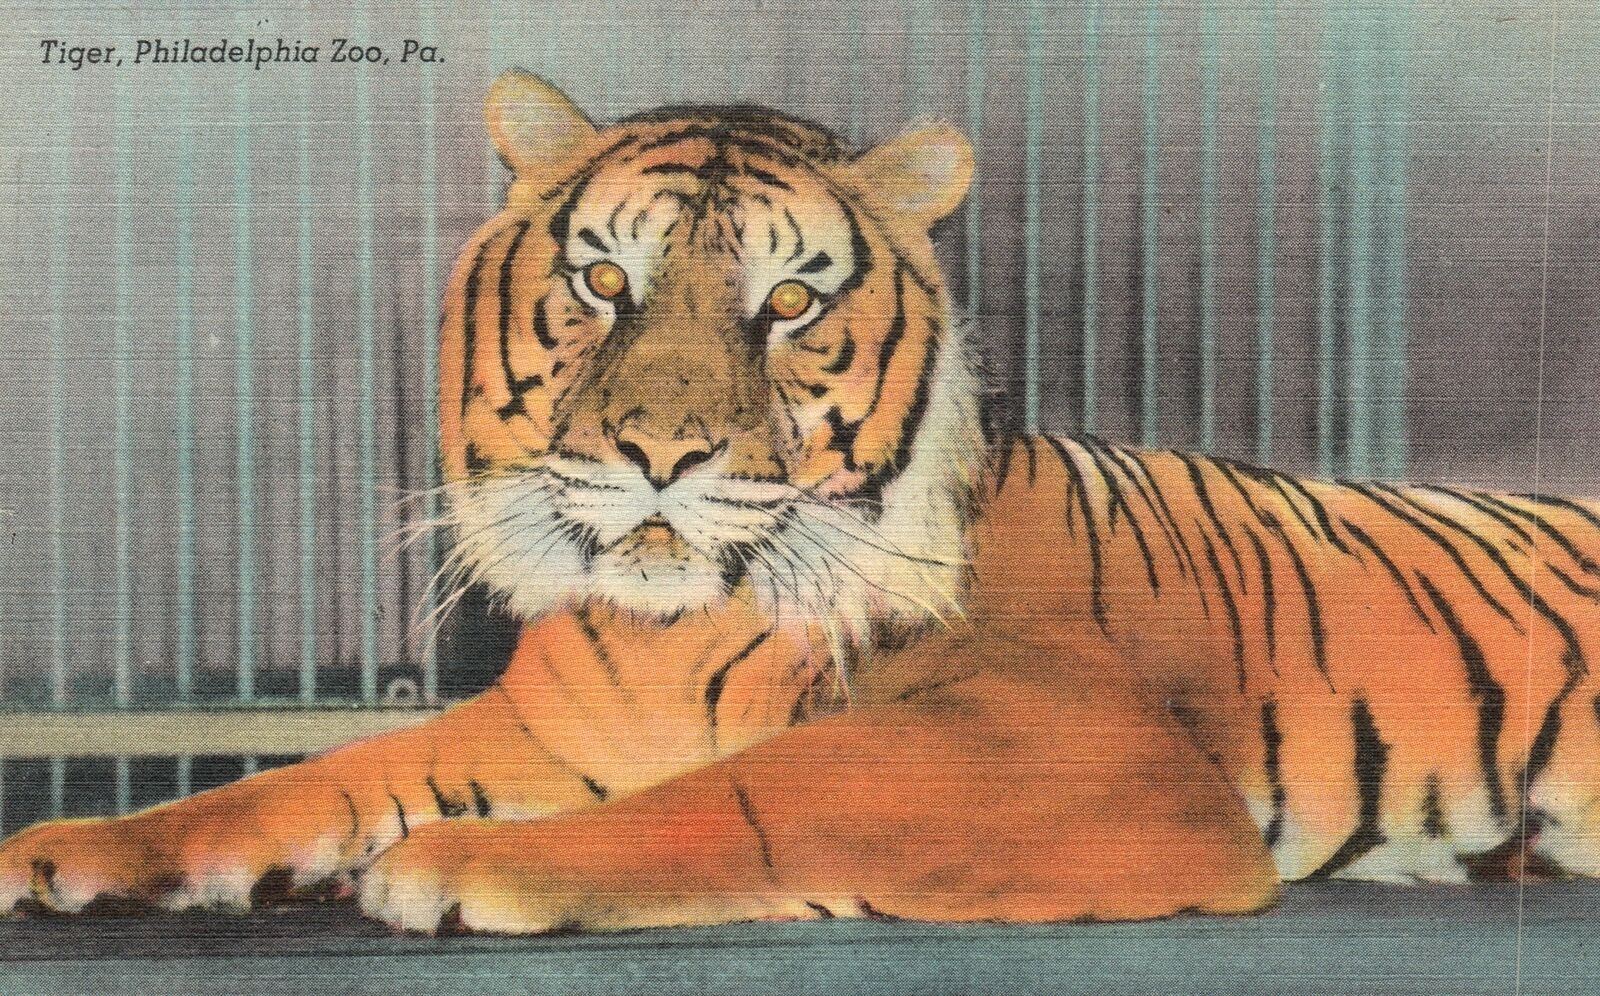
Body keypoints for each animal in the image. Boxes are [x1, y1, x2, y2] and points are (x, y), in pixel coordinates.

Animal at [4, 71, 1599, 934]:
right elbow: (307, 779)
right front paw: (77, 853)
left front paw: (449, 862)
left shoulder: (1081, 750)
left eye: (786, 303)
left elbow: (762, 789)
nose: (660, 452)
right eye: (604, 281)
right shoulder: (540, 731)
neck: (654, 637)